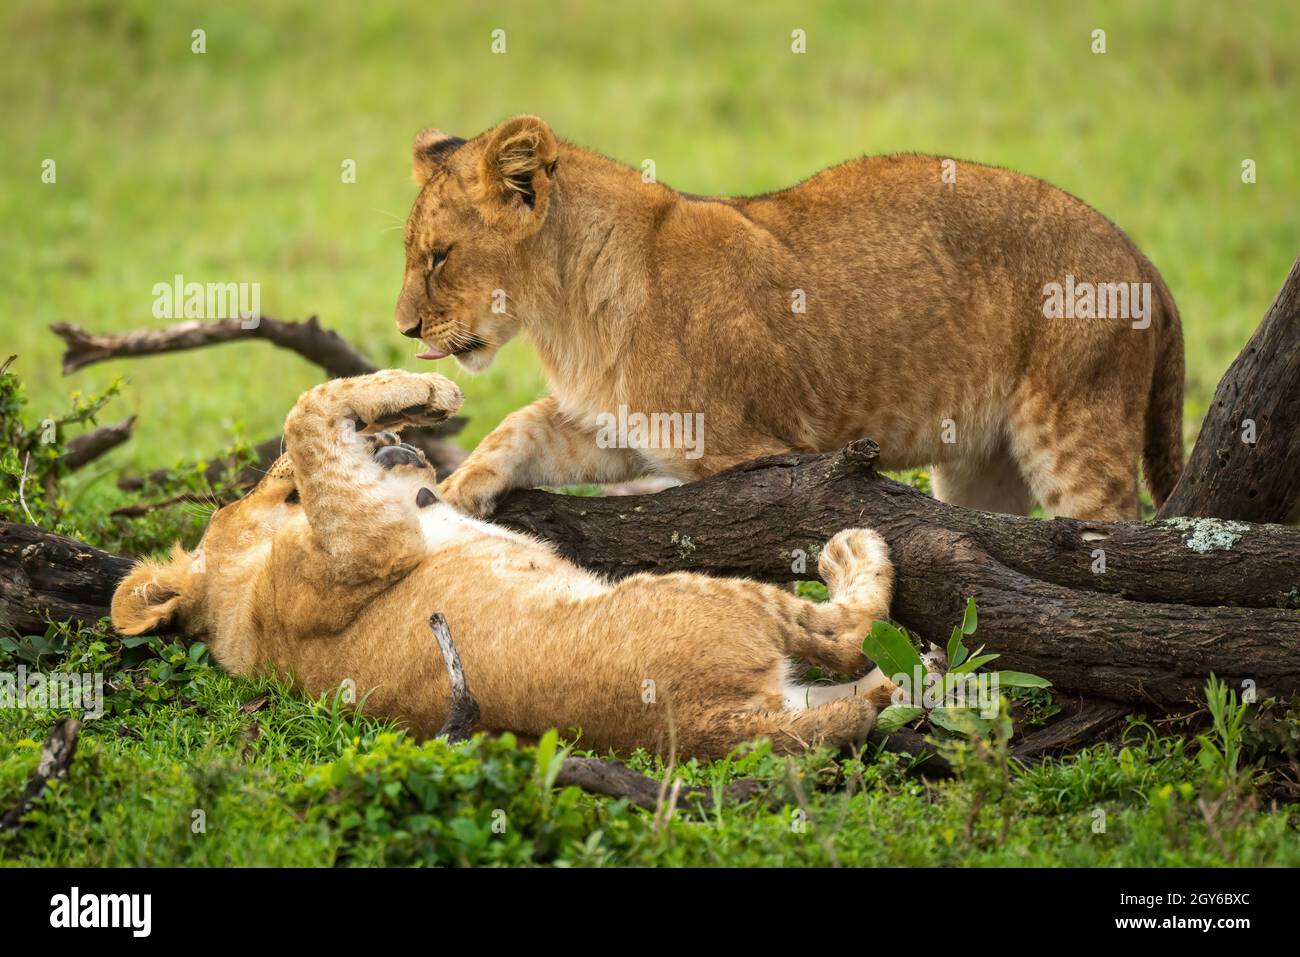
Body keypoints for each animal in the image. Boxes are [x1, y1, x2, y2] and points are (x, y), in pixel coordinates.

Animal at [111, 370, 899, 758]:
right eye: (284, 488)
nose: (393, 438)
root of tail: (705, 722)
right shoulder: (351, 556)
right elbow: (307, 411)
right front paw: (422, 389)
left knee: (869, 687)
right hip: (711, 596)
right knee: (847, 634)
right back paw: (853, 551)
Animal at [395, 115, 1184, 522]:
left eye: (439, 256)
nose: (404, 329)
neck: (566, 312)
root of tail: (1140, 254)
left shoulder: (754, 452)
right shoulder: (622, 425)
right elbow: (521, 427)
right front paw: (454, 493)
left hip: (1075, 427)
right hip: (981, 464)